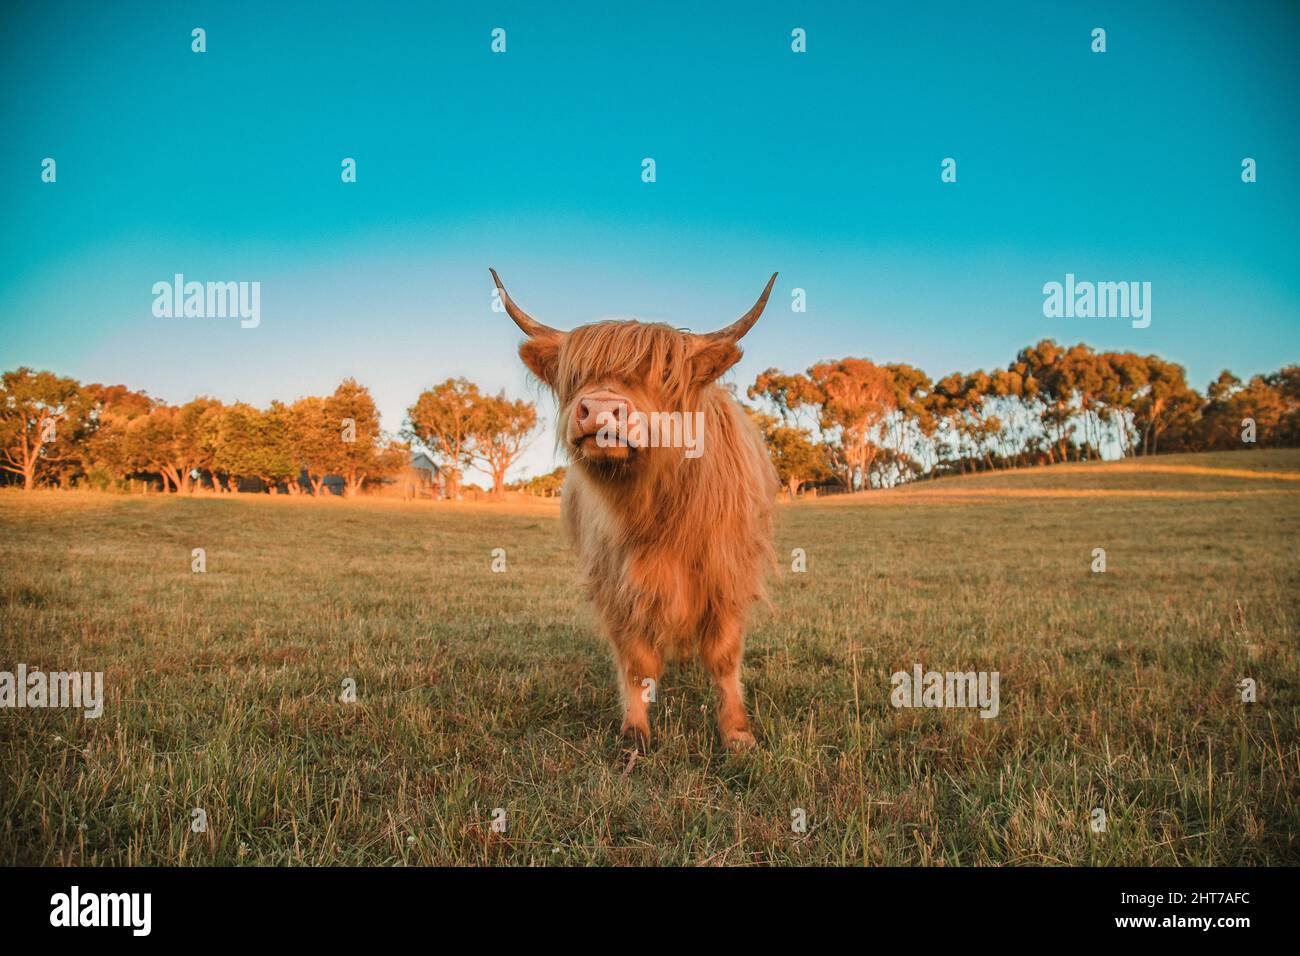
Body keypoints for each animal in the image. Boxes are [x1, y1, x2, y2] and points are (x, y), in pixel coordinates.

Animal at [491, 268, 779, 751]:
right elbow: (636, 660)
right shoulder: (616, 584)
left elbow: (723, 656)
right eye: (575, 374)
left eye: (663, 373)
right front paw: (636, 732)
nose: (601, 409)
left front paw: (737, 733)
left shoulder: (727, 575)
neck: (658, 510)